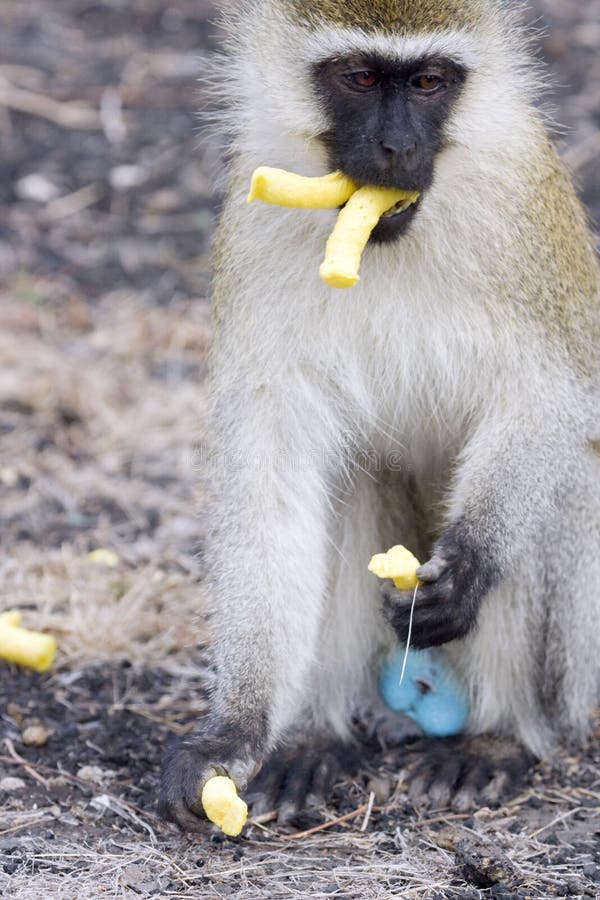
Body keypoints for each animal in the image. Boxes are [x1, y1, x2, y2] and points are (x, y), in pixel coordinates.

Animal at [159, 0, 600, 831]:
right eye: (360, 77)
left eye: (429, 82)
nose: (397, 148)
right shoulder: (251, 221)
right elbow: (272, 474)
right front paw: (237, 727)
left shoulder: (527, 211)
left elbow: (557, 397)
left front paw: (470, 564)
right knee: (343, 480)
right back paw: (312, 738)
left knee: (562, 492)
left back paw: (494, 738)